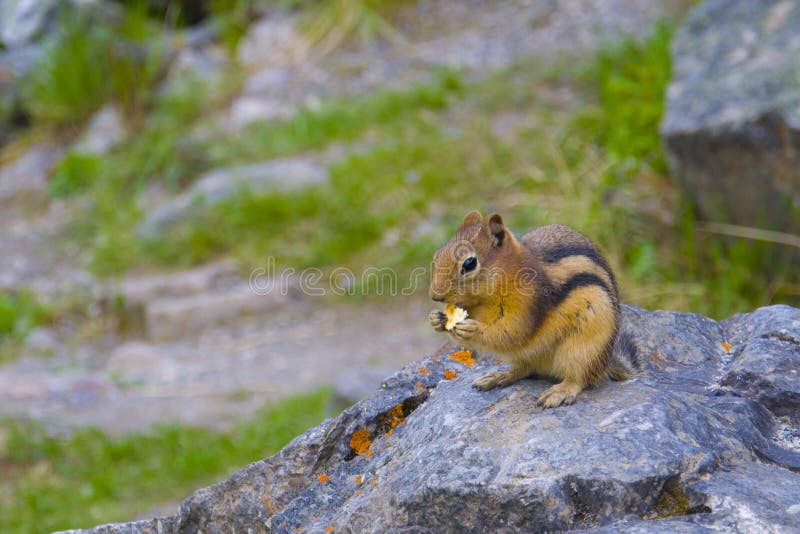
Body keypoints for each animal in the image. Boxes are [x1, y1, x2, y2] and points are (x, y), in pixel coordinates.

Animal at [428, 210, 640, 408]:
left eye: (469, 263)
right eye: (436, 255)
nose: (435, 296)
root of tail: (608, 361)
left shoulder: (528, 304)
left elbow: (514, 332)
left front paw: (472, 329)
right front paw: (436, 319)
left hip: (584, 348)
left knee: (580, 377)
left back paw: (559, 392)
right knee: (526, 368)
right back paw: (499, 376)